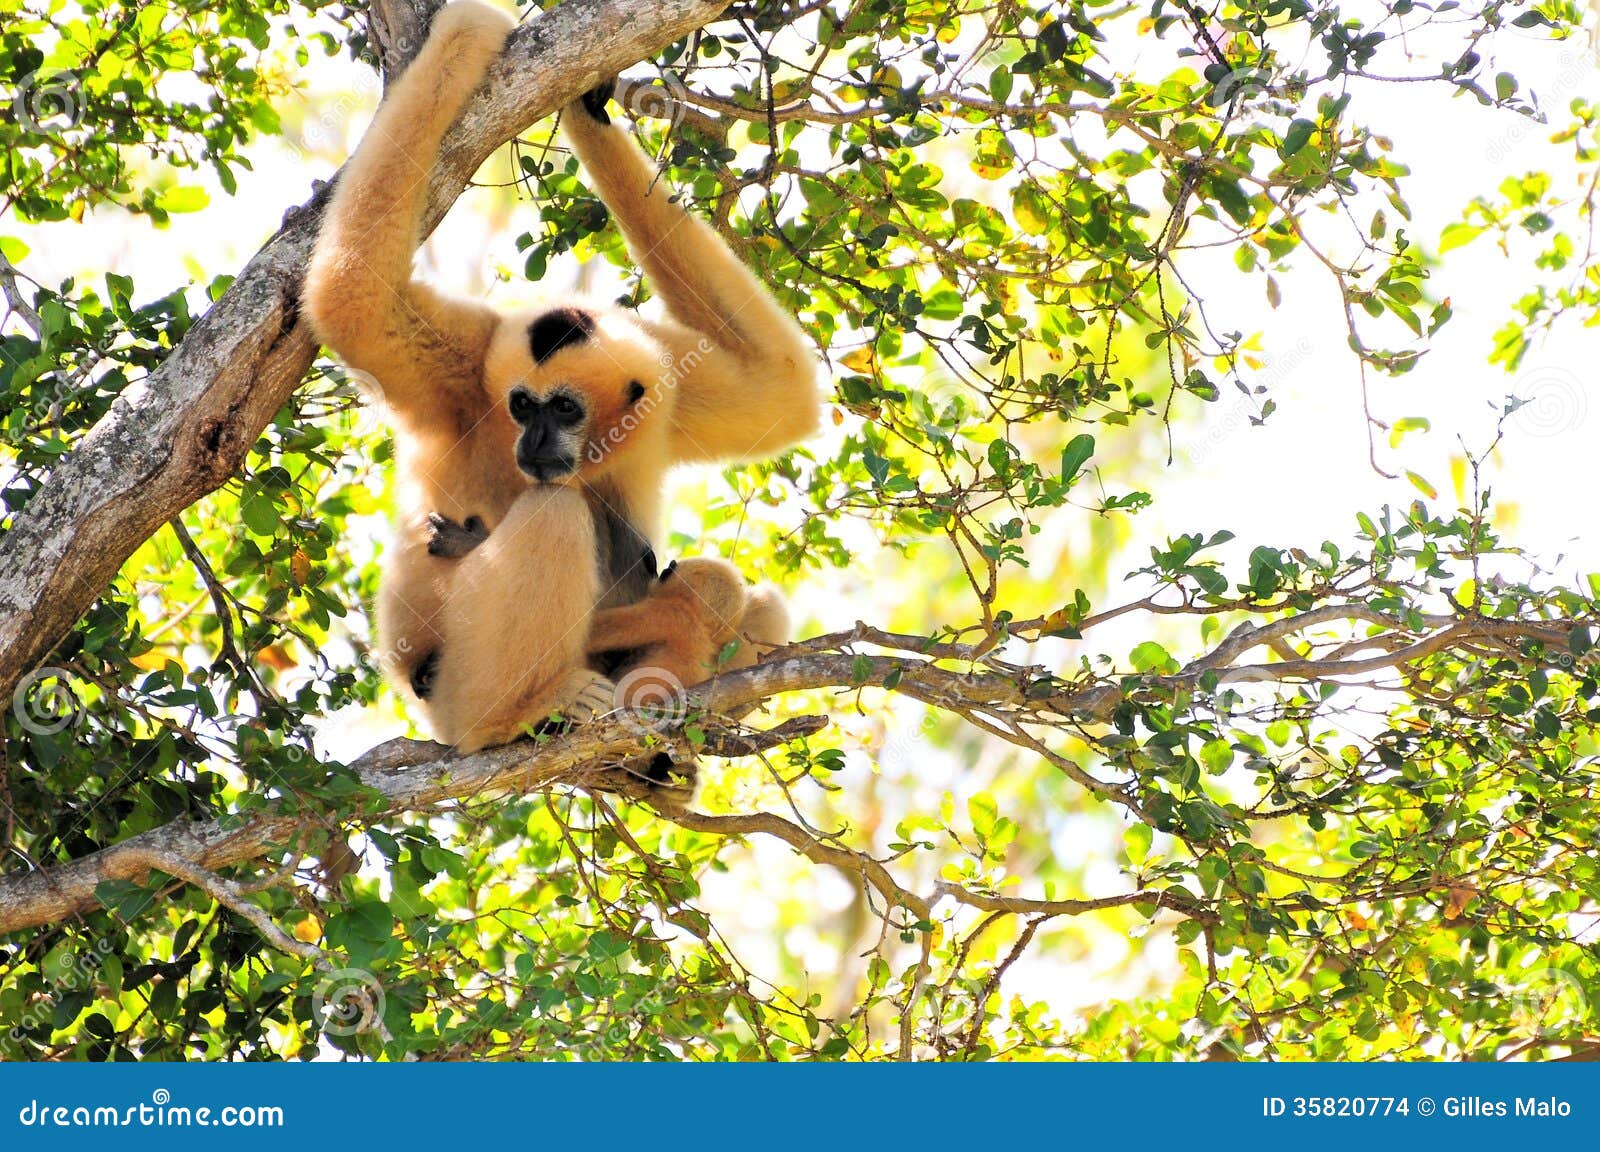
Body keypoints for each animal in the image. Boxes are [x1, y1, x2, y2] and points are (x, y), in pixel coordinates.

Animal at [303, 0, 820, 753]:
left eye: (566, 410)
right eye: (521, 406)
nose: (536, 442)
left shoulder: (668, 388)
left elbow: (780, 389)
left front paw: (589, 109)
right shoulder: (460, 366)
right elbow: (352, 298)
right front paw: (472, 30)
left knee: (756, 601)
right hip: (452, 688)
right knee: (556, 516)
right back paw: (523, 712)